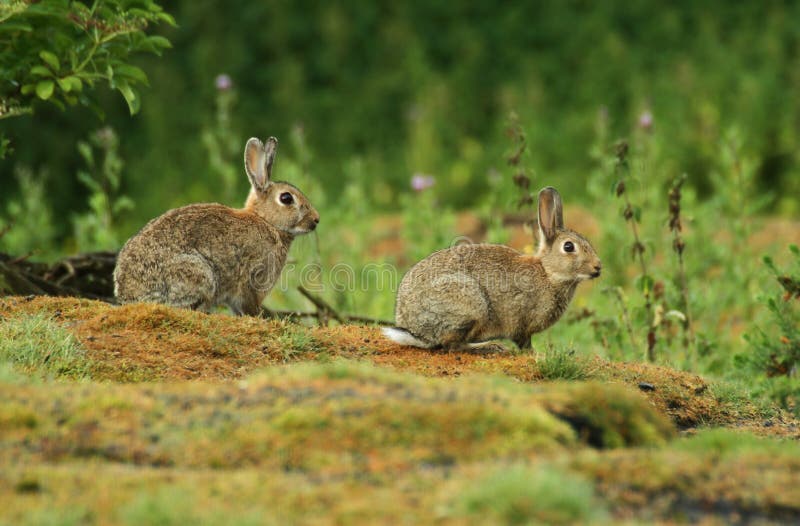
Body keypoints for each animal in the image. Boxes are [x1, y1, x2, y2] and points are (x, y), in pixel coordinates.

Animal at [113, 136, 320, 316]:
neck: (266, 221)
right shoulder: (252, 279)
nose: (316, 220)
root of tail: (129, 295)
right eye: (286, 198)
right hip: (198, 275)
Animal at [383, 186, 601, 350]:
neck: (548, 273)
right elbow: (524, 342)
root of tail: (414, 329)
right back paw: (488, 346)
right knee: (451, 345)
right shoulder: (520, 321)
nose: (598, 267)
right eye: (569, 247)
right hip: (471, 304)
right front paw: (533, 354)